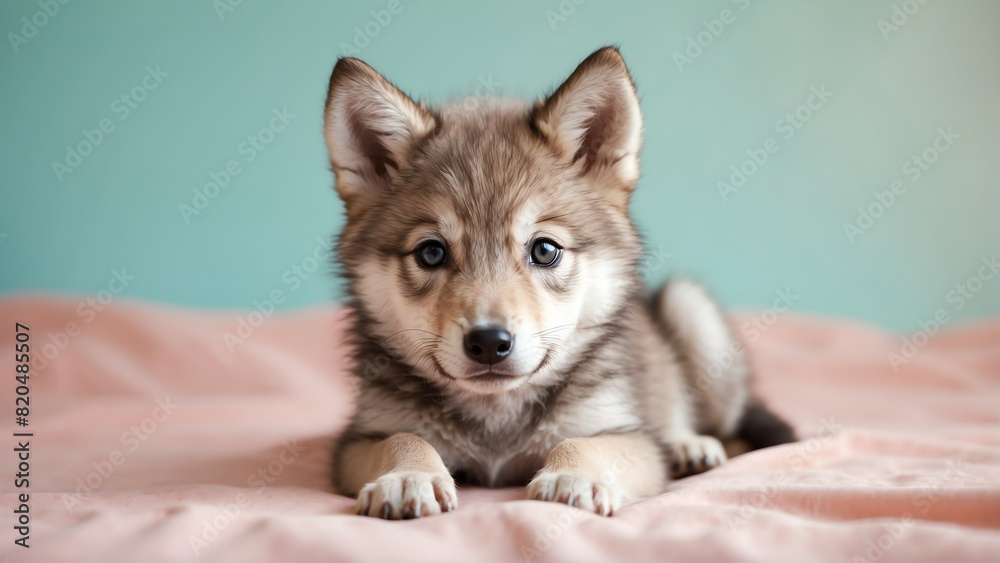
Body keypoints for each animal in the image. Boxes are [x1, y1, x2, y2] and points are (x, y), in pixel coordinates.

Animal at [324, 46, 795, 519]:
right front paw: (409, 476)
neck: (497, 417)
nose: (489, 343)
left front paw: (574, 475)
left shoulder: (626, 435)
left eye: (545, 250)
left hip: (689, 309)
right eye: (431, 253)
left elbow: (582, 443)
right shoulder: (359, 439)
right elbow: (405, 439)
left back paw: (688, 446)